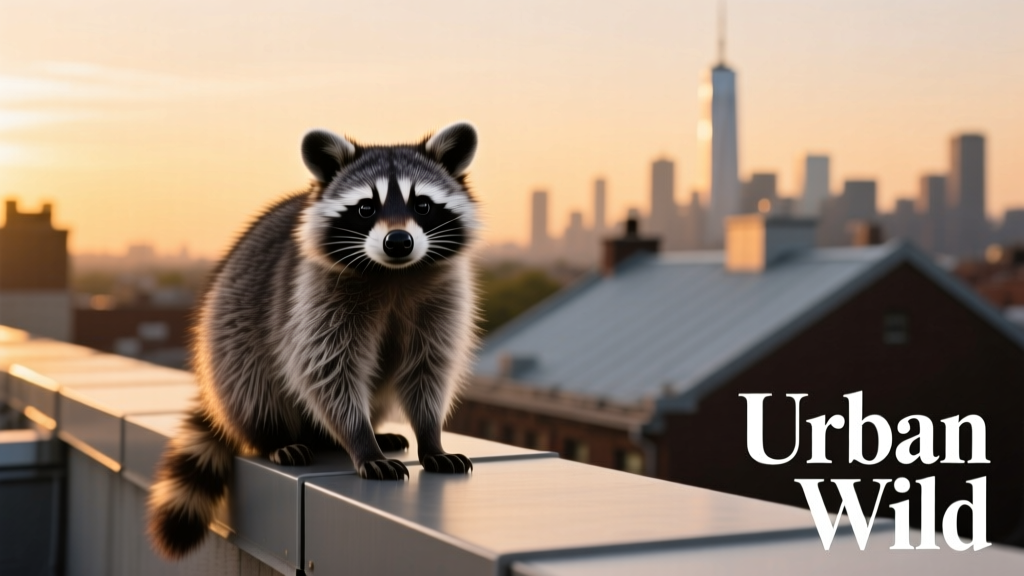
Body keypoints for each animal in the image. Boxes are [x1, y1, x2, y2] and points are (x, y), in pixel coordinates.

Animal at [147, 122, 480, 559]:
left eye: (422, 205)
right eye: (365, 208)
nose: (398, 242)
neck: (393, 274)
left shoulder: (441, 296)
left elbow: (428, 368)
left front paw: (430, 436)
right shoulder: (315, 295)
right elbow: (326, 370)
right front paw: (361, 442)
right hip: (227, 328)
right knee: (248, 381)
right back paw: (275, 437)